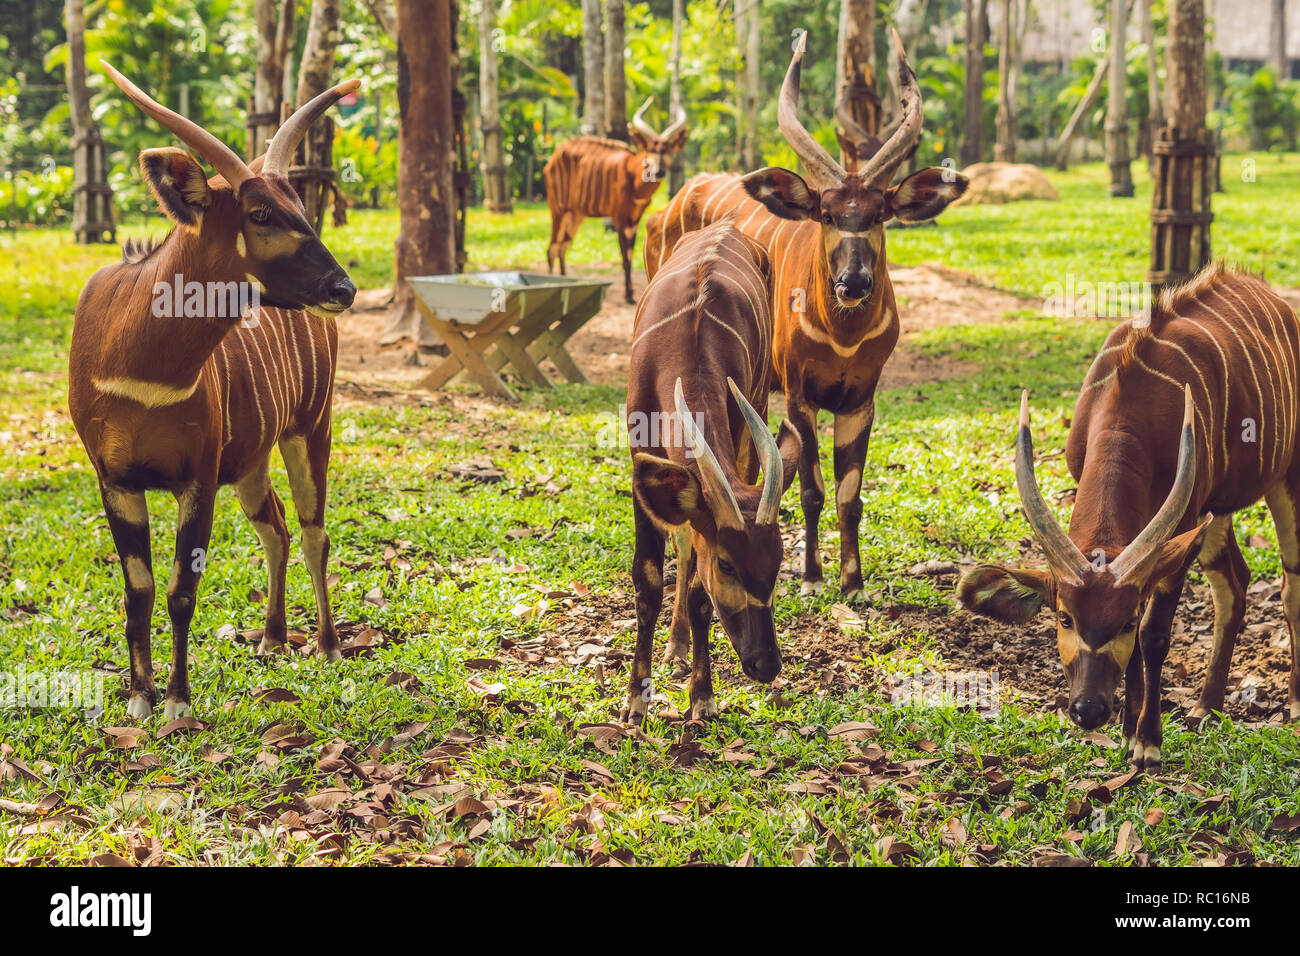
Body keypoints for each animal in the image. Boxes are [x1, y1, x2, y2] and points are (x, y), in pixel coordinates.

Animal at [68, 63, 359, 721]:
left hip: (311, 429)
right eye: (260, 214)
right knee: (275, 525)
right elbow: (139, 589)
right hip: (250, 463)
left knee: (313, 532)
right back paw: (272, 639)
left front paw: (177, 703)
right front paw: (139, 700)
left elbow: (181, 589)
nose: (343, 287)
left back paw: (327, 646)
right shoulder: (115, 479)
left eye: (299, 205)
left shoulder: (195, 478)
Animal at [544, 97, 687, 304]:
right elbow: (625, 259)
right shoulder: (618, 218)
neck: (632, 176)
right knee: (552, 248)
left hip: (575, 214)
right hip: (558, 209)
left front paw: (631, 293)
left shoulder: (634, 221)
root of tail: (554, 156)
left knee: (562, 246)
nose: (659, 171)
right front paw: (628, 296)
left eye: (667, 149)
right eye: (650, 149)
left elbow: (630, 255)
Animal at [626, 222, 800, 722]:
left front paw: (702, 698)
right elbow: (649, 579)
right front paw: (635, 701)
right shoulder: (638, 456)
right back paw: (675, 648)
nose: (766, 663)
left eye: (779, 561)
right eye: (726, 563)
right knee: (682, 542)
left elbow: (701, 595)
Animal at [645, 30, 968, 601]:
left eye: (879, 213)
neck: (843, 333)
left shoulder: (861, 399)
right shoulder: (800, 395)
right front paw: (815, 578)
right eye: (827, 214)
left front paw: (853, 582)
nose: (854, 283)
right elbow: (814, 490)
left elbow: (849, 495)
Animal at [958, 265, 1300, 770]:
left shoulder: (1180, 531)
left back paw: (1292, 702)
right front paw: (1125, 731)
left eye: (1124, 619)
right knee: (1234, 584)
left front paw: (1147, 742)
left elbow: (1153, 635)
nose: (1089, 710)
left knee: (1289, 584)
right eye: (1064, 617)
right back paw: (1205, 707)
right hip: (1216, 511)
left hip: (1283, 479)